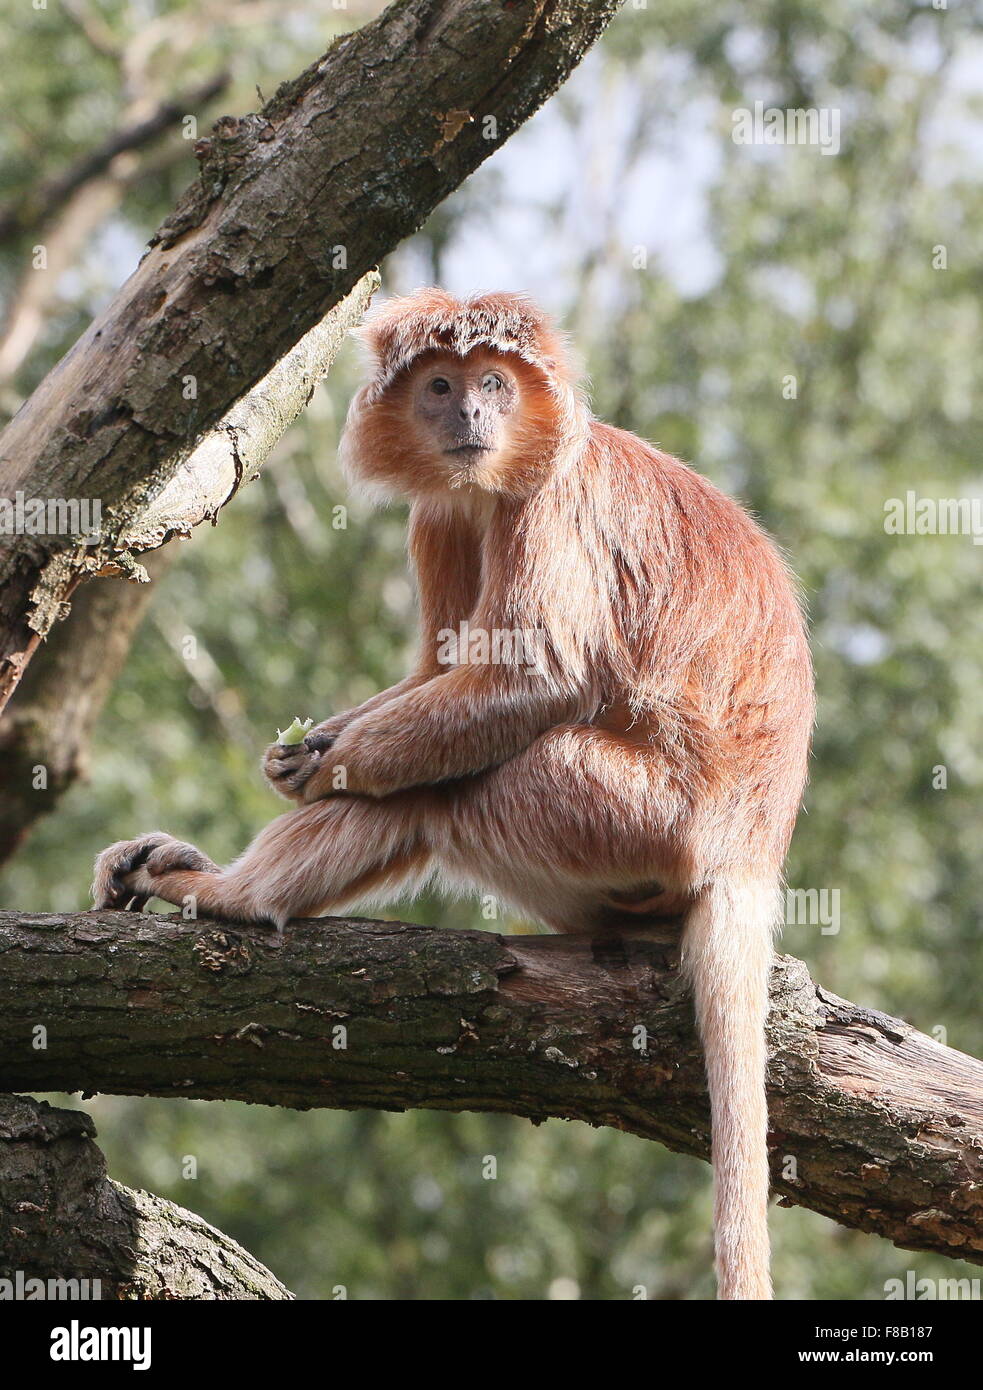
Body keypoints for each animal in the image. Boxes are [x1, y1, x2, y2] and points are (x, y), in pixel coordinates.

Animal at [93, 288, 814, 1301]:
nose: (470, 415)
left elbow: (536, 682)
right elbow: (438, 672)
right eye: (440, 385)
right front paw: (305, 747)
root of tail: (752, 853)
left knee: (434, 793)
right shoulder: (442, 512)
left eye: (494, 384)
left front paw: (331, 763)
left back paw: (232, 895)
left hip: (632, 815)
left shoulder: (546, 499)